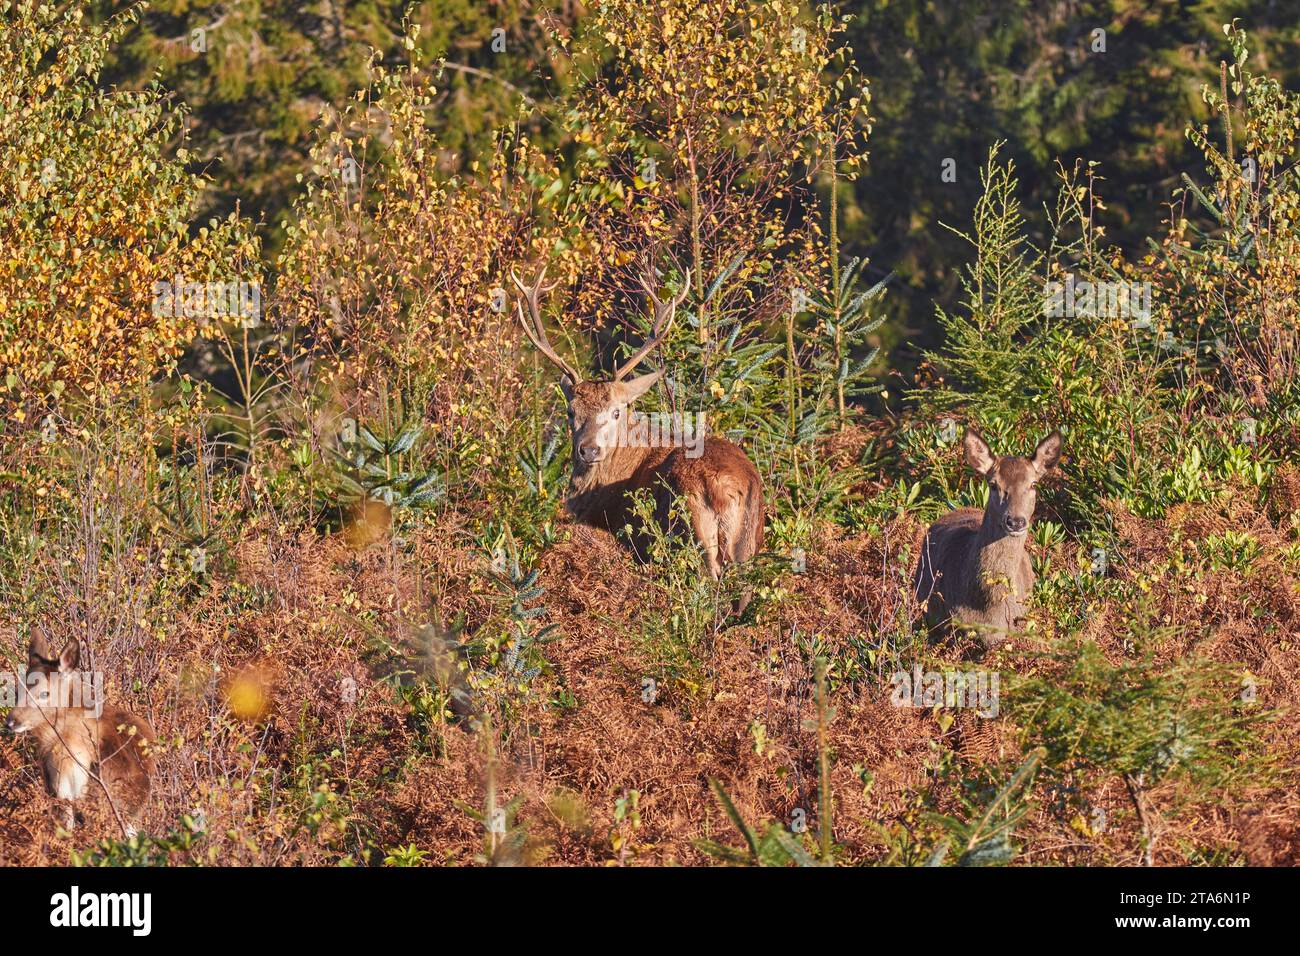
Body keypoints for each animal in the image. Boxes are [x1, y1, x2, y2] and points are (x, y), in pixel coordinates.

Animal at [511, 262, 765, 610]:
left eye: (617, 411)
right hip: (747, 544)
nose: (589, 450)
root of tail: (729, 487)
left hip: (690, 528)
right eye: (571, 411)